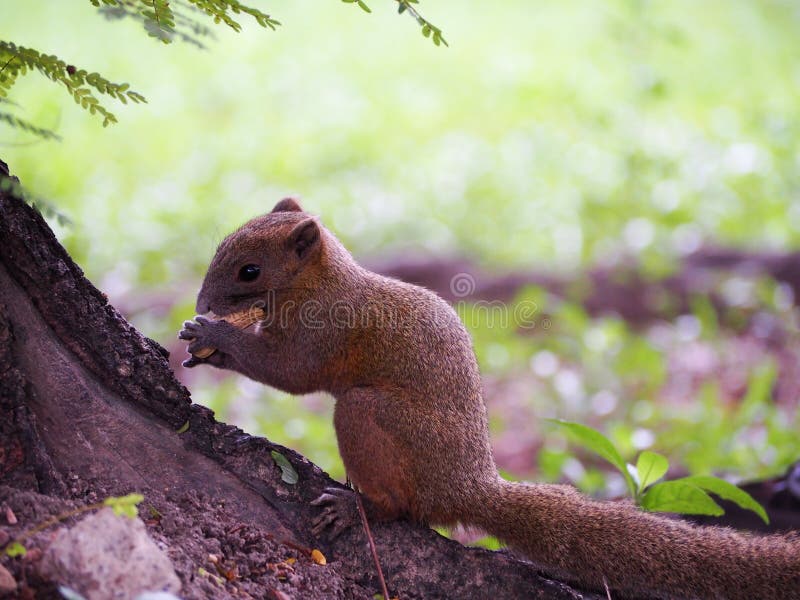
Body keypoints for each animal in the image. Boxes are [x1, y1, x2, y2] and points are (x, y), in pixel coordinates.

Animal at [179, 198, 800, 599]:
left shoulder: (323, 331)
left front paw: (216, 337)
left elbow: (290, 371)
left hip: (367, 418)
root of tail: (469, 487)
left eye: (250, 269)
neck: (320, 282)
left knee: (397, 503)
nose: (203, 301)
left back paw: (359, 508)